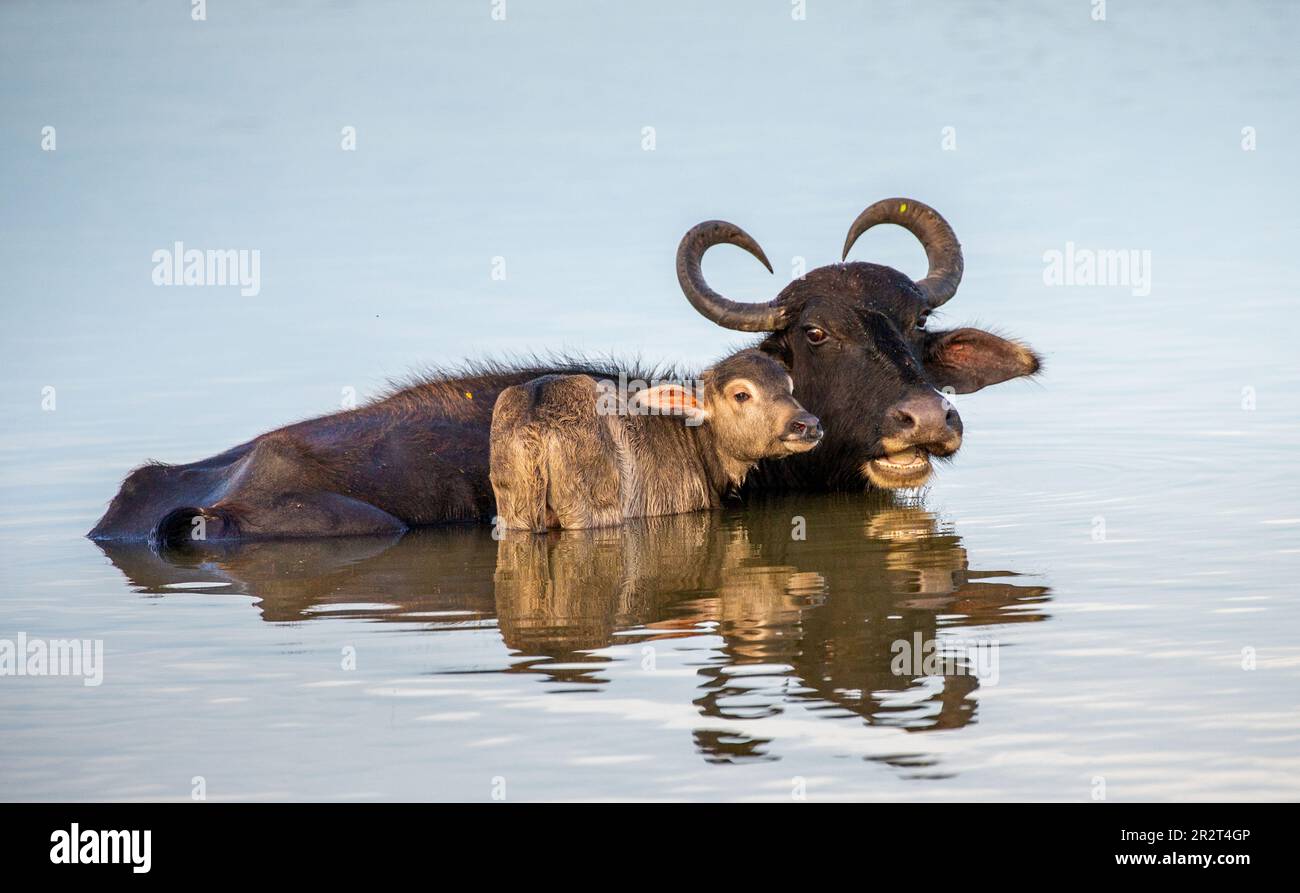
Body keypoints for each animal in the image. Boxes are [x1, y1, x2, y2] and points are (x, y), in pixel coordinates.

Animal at [489, 349, 821, 531]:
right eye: (741, 394)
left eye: (789, 388)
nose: (808, 425)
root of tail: (536, 413)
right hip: (591, 510)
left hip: (517, 512)